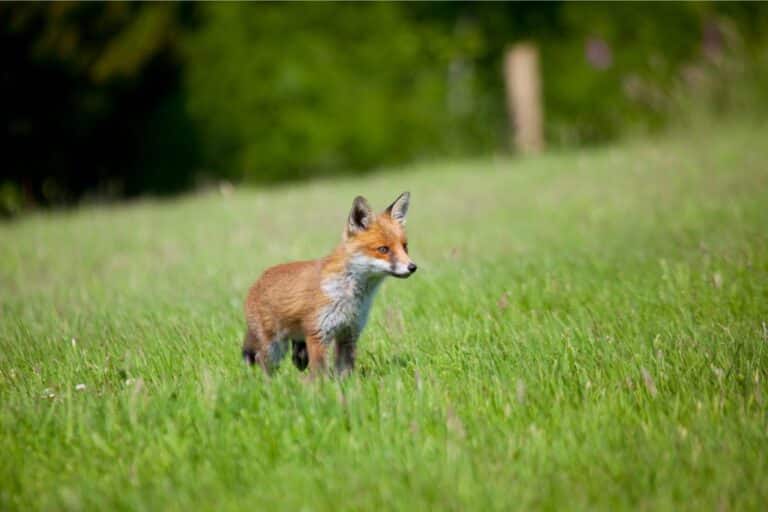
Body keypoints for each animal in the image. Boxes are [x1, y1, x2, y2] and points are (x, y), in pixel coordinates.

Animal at [242, 192, 416, 377]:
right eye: (383, 249)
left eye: (405, 247)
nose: (412, 267)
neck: (350, 296)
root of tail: (258, 280)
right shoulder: (318, 334)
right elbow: (320, 373)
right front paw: (322, 385)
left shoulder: (348, 333)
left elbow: (345, 370)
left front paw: (348, 385)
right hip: (274, 346)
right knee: (262, 362)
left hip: (298, 348)